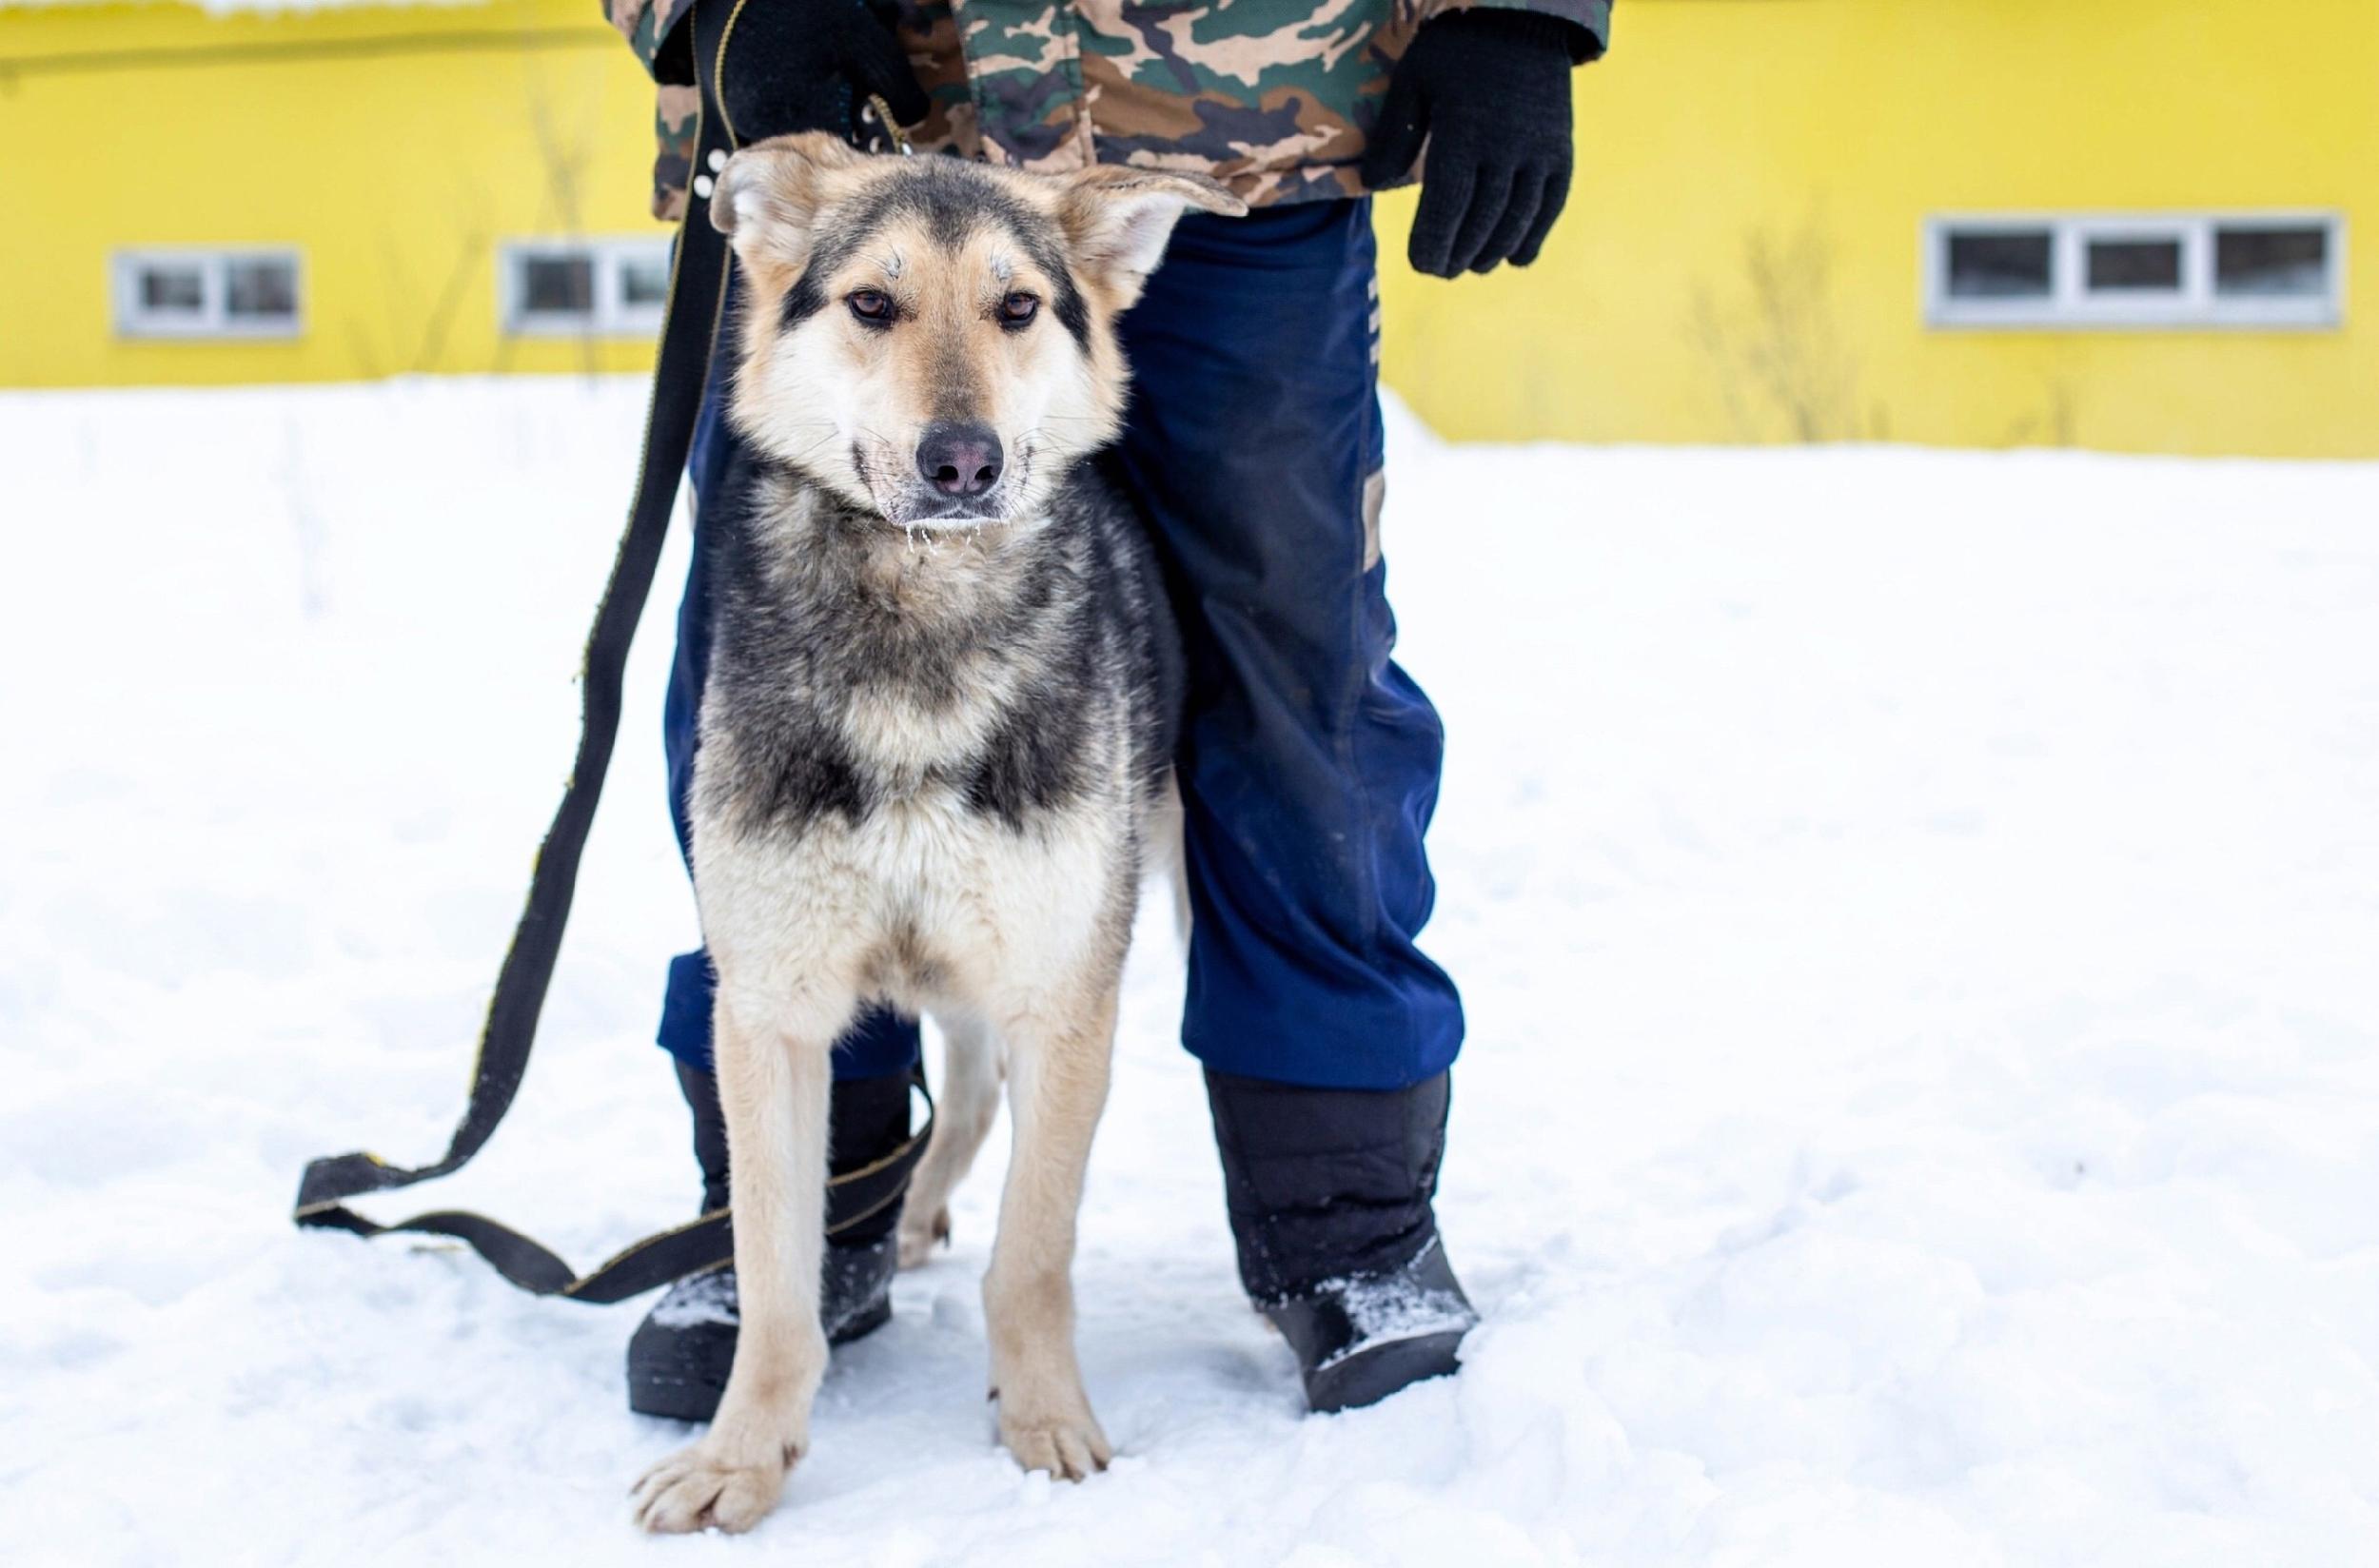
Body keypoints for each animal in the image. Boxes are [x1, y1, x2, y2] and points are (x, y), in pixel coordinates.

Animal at [633, 134, 1247, 1532]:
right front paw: (741, 1460)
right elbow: (776, 1273)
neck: (919, 617)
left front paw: (1045, 1422)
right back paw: (903, 1217)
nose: (961, 461)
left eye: (1016, 307)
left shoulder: (1063, 998)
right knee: (956, 1099)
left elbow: (1034, 1252)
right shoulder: (770, 1011)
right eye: (873, 303)